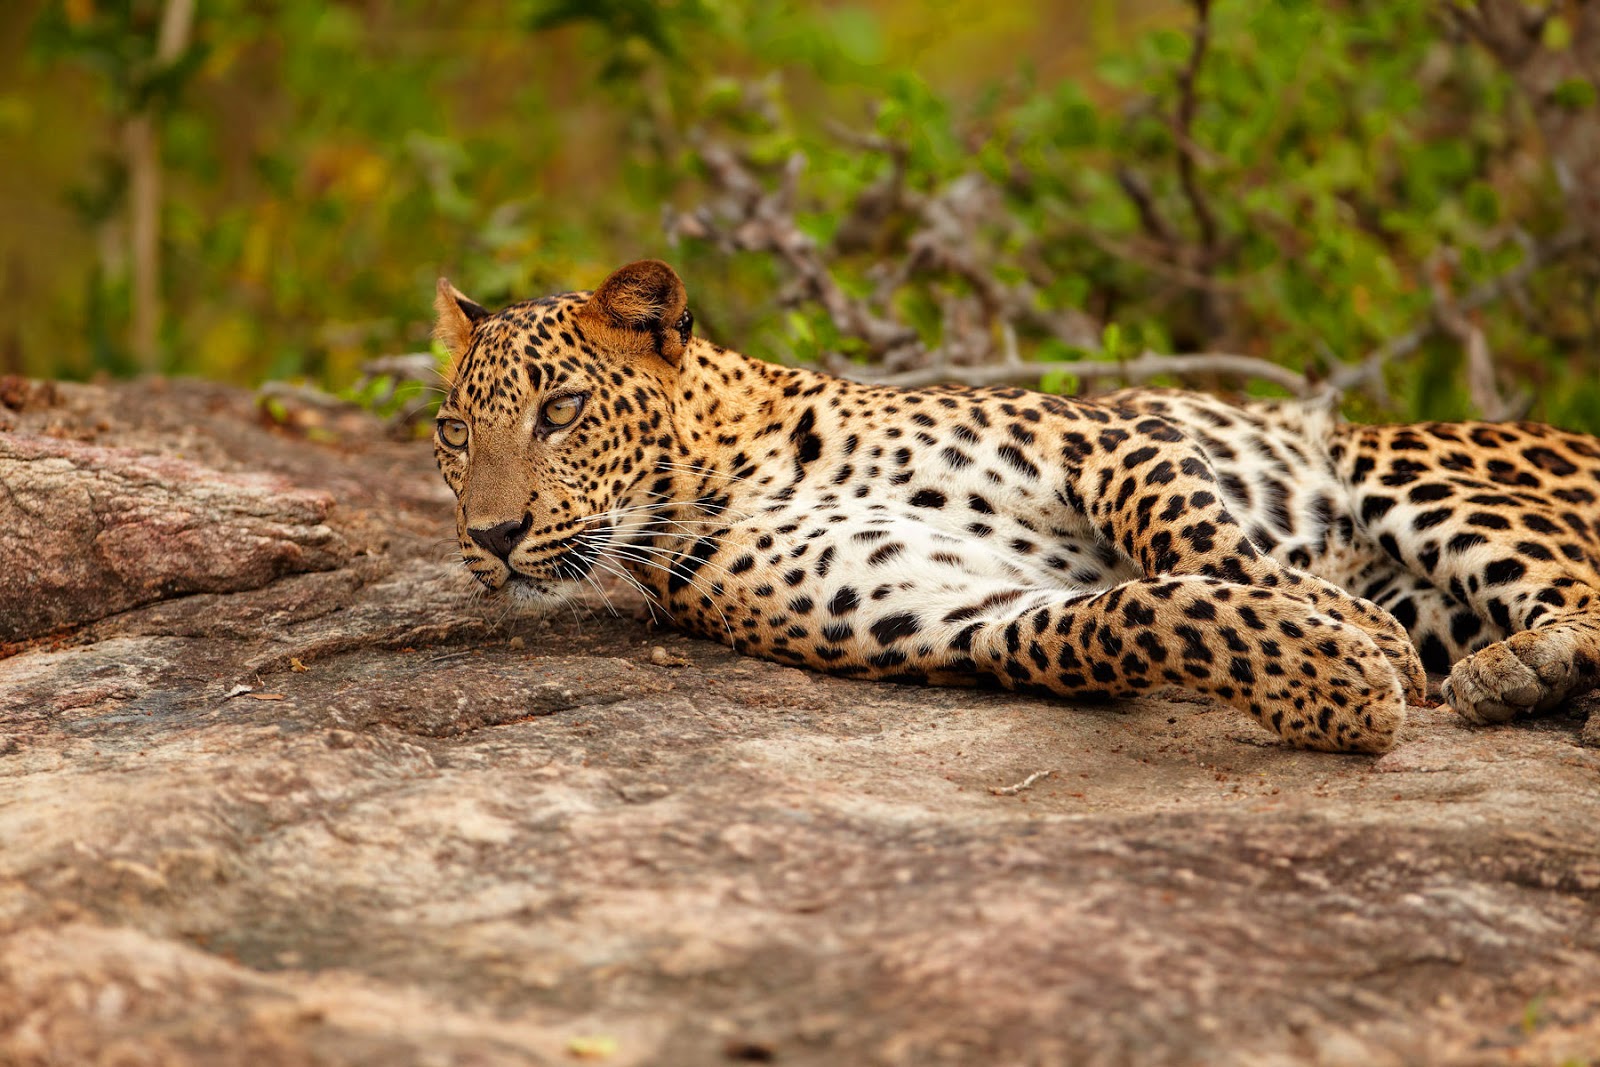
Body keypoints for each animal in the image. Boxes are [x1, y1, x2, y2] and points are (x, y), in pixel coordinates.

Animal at [430, 259, 1600, 753]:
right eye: (453, 434)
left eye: (562, 409)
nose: (492, 537)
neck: (733, 464)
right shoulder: (960, 616)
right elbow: (1140, 611)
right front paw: (1328, 679)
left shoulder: (1104, 440)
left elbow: (1205, 537)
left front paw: (1355, 632)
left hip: (1394, 464)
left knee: (1570, 580)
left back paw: (1510, 666)